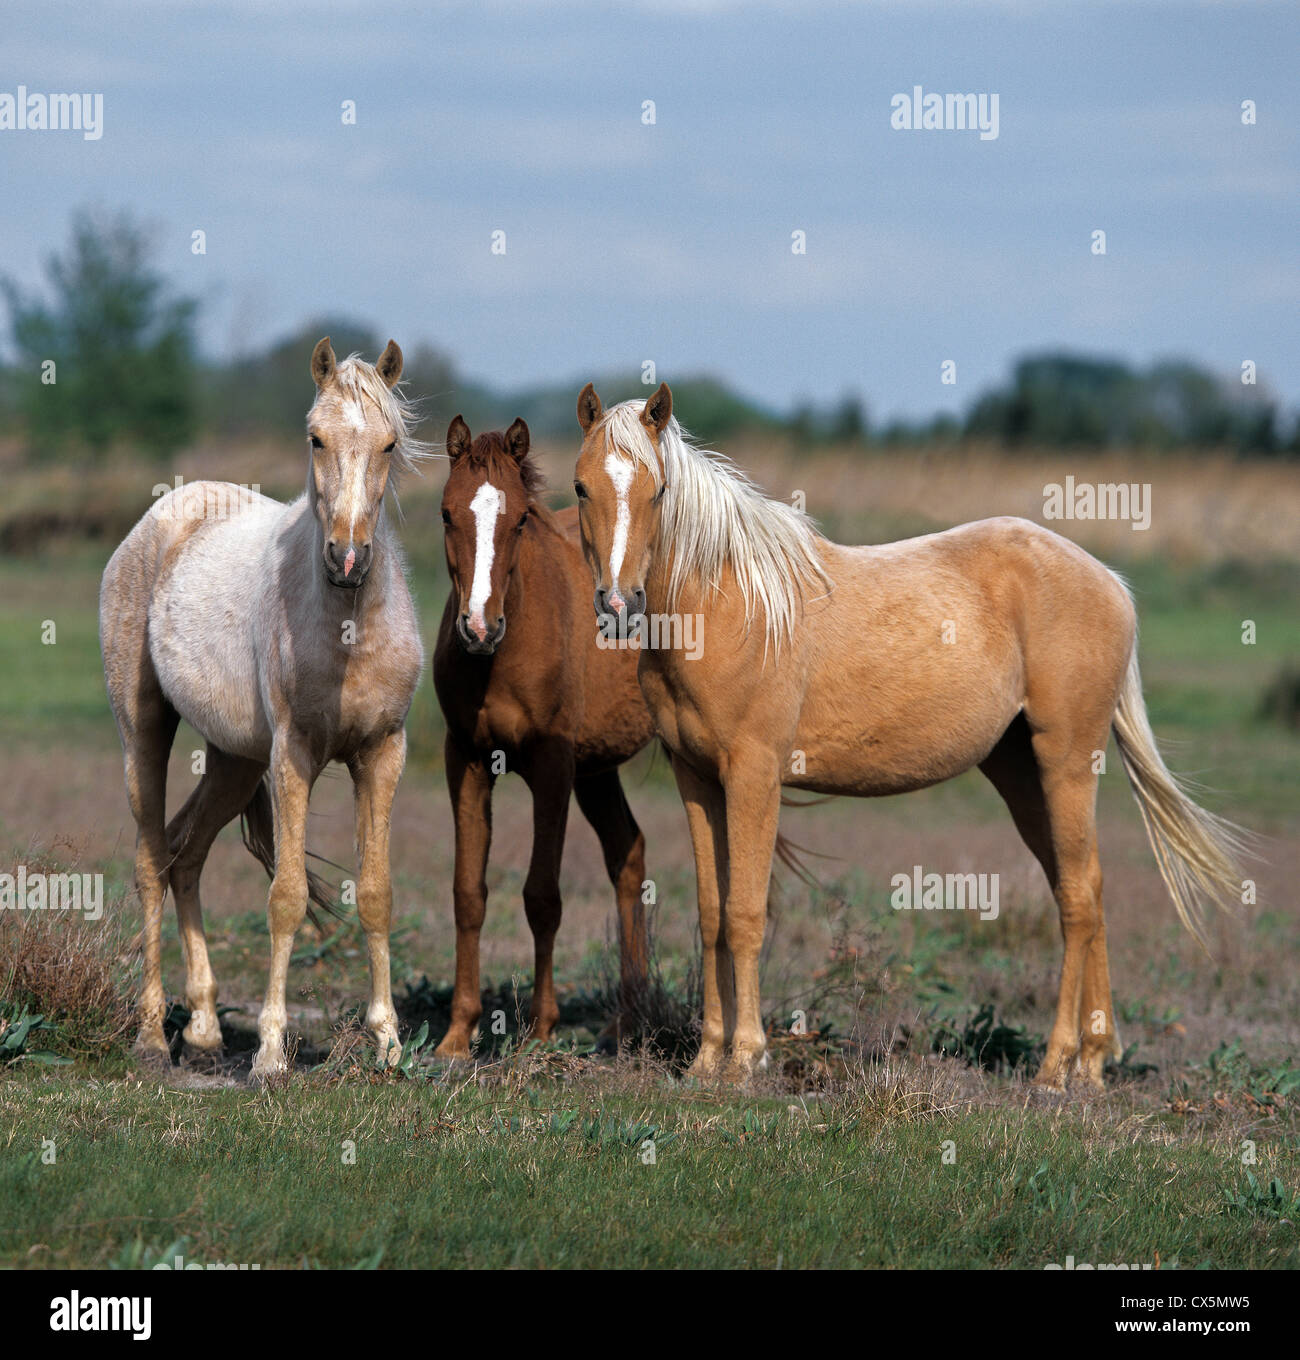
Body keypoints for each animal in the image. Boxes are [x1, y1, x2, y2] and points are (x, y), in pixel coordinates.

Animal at [100, 337, 428, 1080]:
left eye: (390, 443)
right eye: (315, 438)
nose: (347, 559)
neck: (344, 629)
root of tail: (162, 515)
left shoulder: (383, 753)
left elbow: (377, 894)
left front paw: (389, 1045)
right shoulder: (294, 756)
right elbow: (285, 898)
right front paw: (274, 1055)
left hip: (234, 761)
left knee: (185, 853)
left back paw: (202, 1030)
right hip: (145, 734)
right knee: (149, 861)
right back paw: (151, 1039)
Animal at [431, 415, 656, 1058]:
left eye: (520, 520)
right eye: (446, 513)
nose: (479, 627)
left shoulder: (552, 768)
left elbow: (542, 897)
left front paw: (541, 1029)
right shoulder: (467, 761)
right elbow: (468, 894)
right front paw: (457, 1034)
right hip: (598, 770)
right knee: (627, 854)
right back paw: (626, 1020)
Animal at [571, 381, 1247, 1089]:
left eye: (658, 491)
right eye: (581, 487)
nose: (618, 605)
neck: (732, 601)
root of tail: (1109, 582)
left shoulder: (754, 775)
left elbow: (747, 914)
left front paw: (746, 1059)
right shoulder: (697, 779)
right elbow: (711, 915)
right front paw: (708, 1061)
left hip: (1066, 764)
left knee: (1078, 899)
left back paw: (1057, 1064)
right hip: (1020, 774)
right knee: (1084, 885)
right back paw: (1093, 1059)